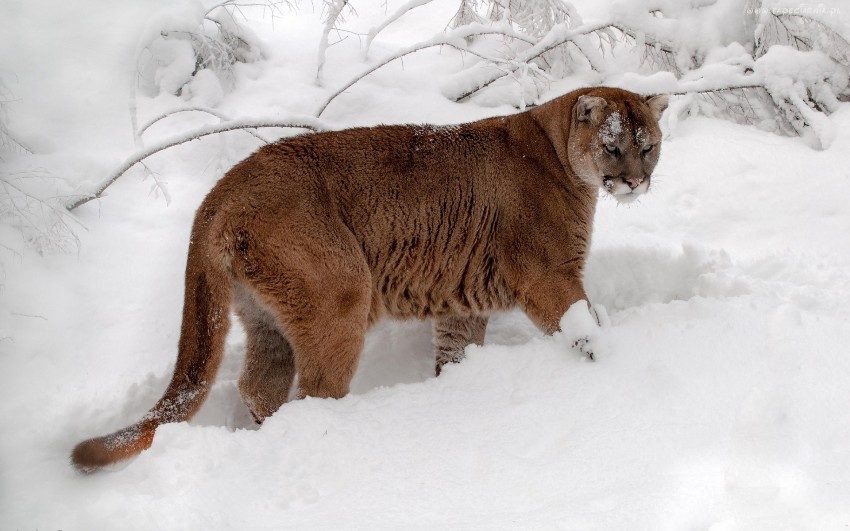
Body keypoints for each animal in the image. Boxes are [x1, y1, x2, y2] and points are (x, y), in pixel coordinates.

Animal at [71, 87, 668, 472]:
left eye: (650, 145)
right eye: (613, 146)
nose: (636, 180)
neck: (557, 151)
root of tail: (221, 190)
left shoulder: (463, 302)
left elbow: (456, 352)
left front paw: (453, 387)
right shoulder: (548, 275)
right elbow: (581, 324)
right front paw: (608, 361)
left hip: (265, 318)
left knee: (259, 384)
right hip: (341, 293)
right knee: (314, 392)